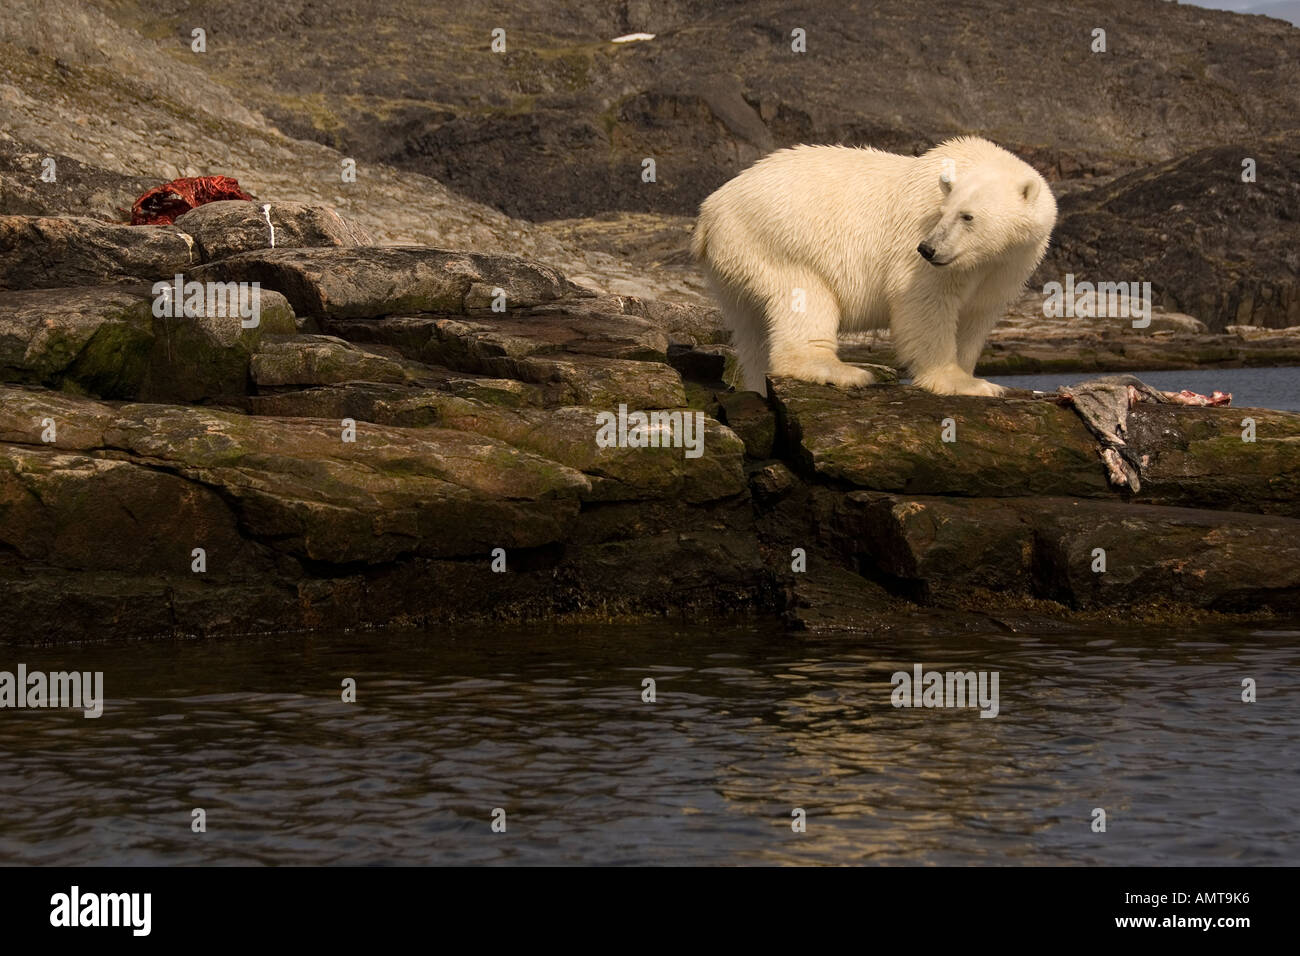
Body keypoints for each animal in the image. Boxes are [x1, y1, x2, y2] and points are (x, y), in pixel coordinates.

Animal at [692, 136, 1056, 396]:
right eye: (944, 213)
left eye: (967, 216)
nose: (928, 248)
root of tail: (709, 210)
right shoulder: (917, 251)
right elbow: (925, 304)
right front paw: (964, 382)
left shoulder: (1008, 264)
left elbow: (977, 314)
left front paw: (970, 374)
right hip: (778, 238)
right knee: (804, 296)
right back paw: (841, 371)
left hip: (739, 262)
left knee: (751, 328)